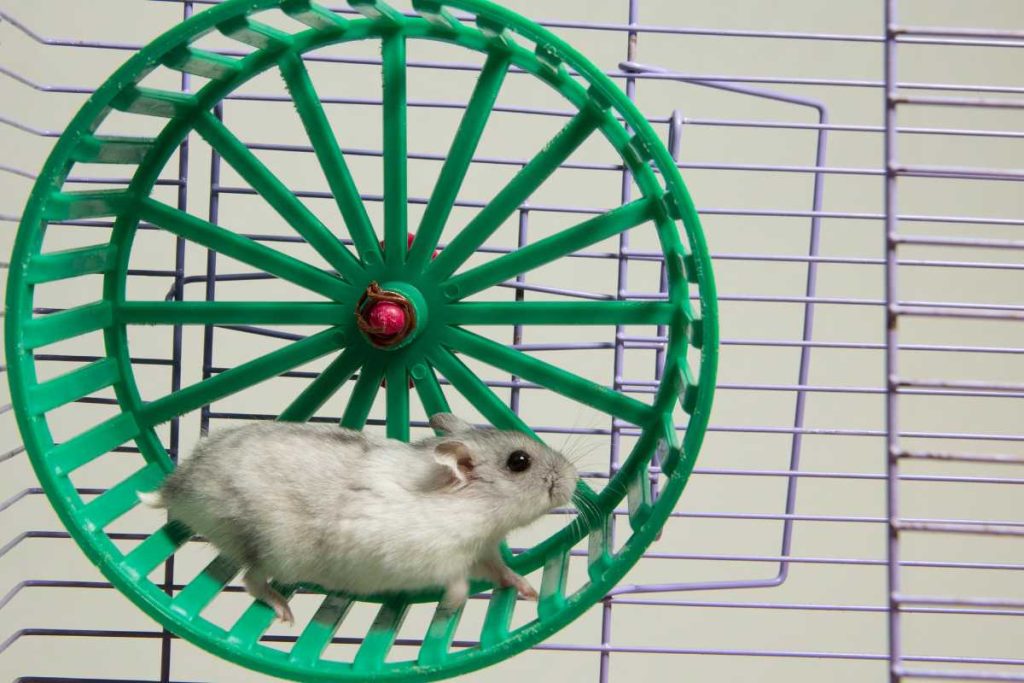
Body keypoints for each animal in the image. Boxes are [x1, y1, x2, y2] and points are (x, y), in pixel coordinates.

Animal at [139, 413, 578, 624]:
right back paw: (285, 613)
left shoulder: (484, 550)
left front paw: (530, 591)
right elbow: (457, 584)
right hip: (272, 550)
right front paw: (449, 610)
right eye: (519, 462)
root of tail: (177, 486)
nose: (575, 478)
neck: (475, 512)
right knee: (251, 580)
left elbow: (502, 571)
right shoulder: (436, 558)